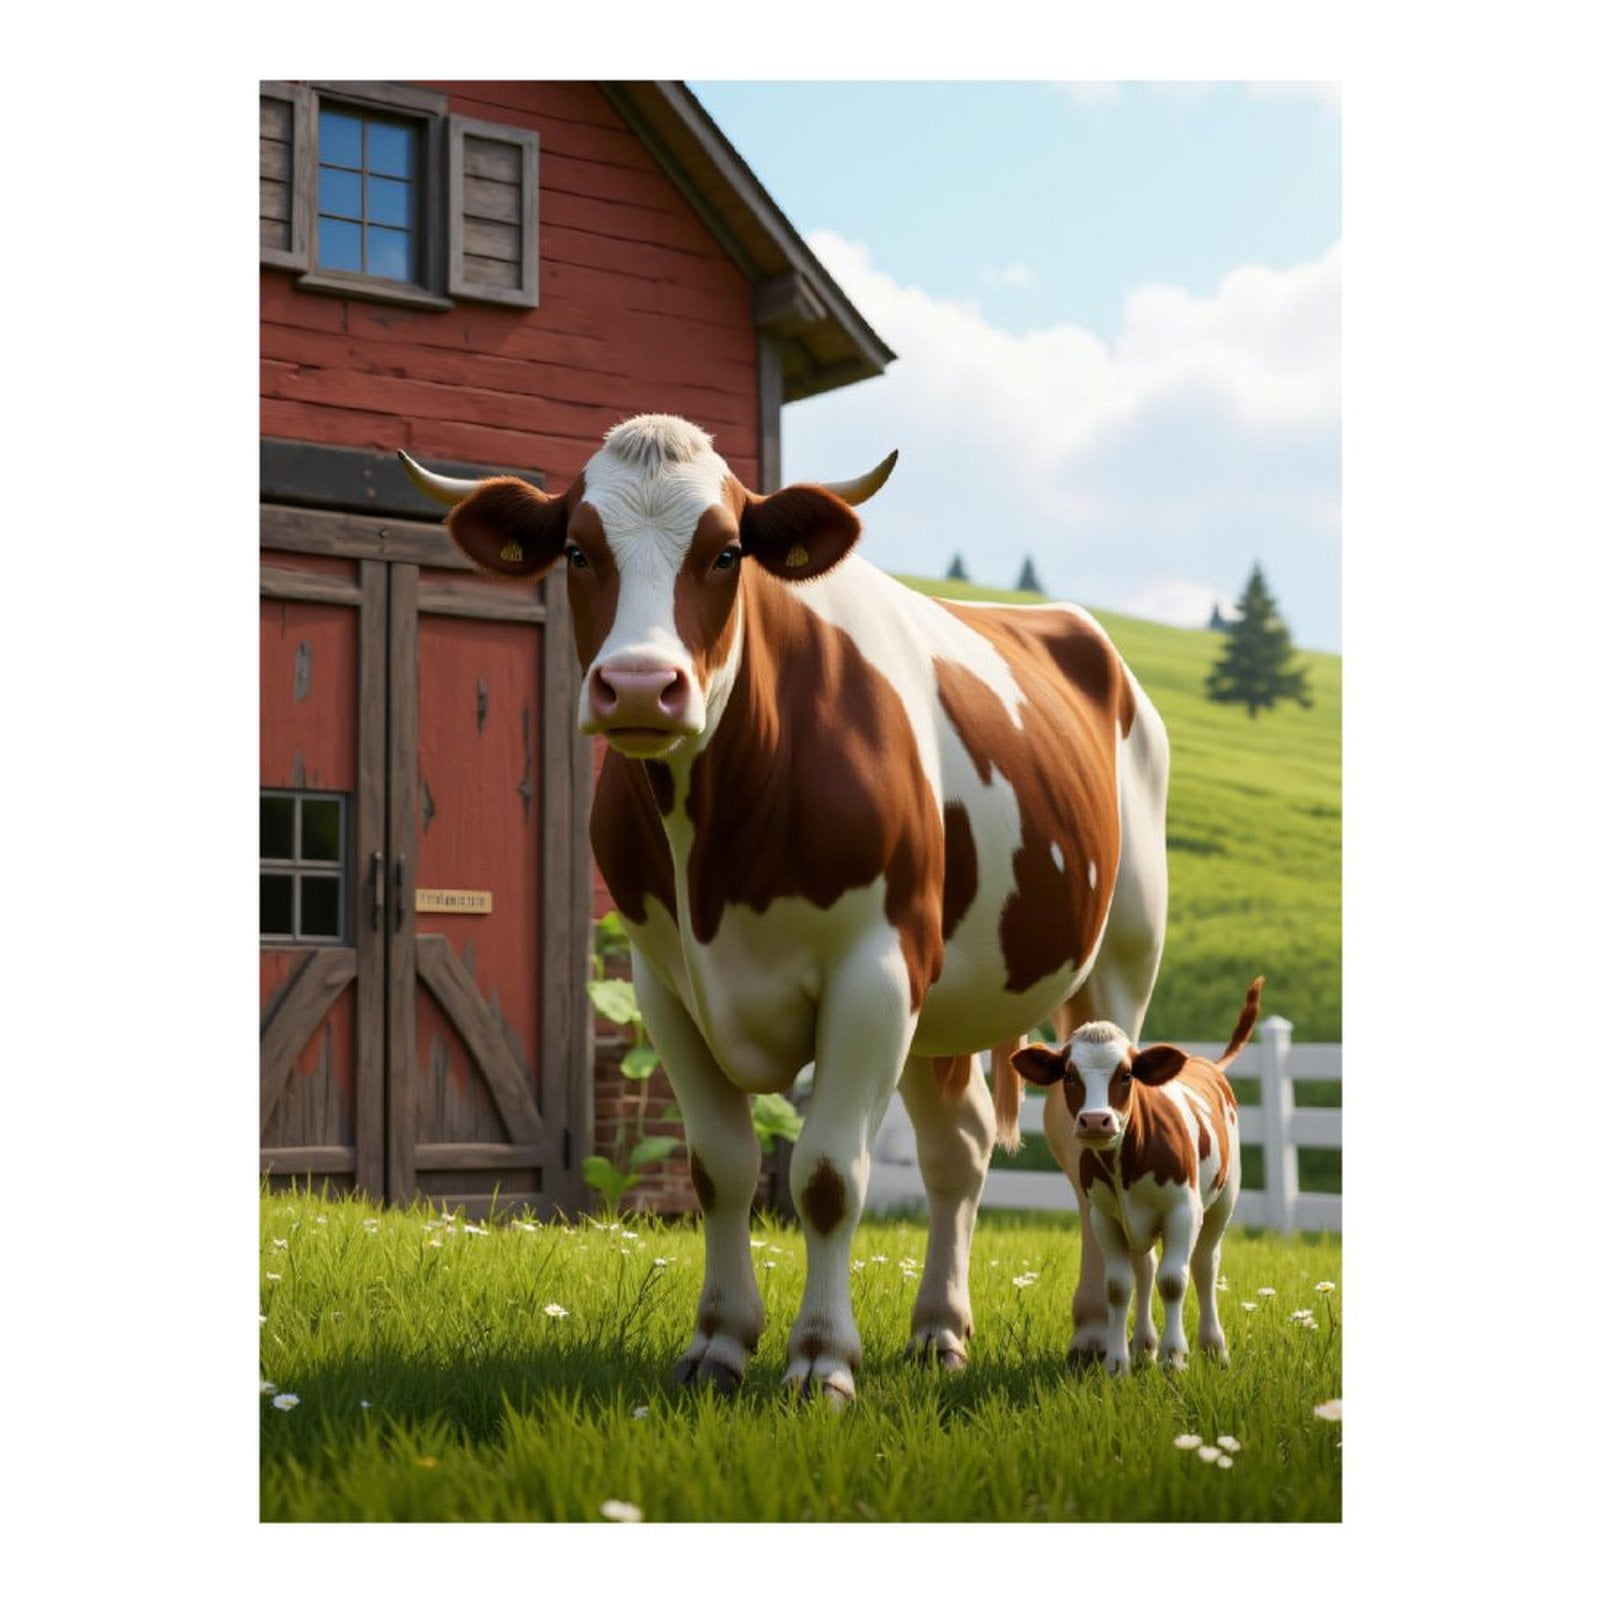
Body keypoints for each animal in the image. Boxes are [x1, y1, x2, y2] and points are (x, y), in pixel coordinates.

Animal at [399, 414, 1170, 1402]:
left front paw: (822, 1360)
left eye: (728, 552)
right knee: (957, 1151)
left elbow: (828, 1176)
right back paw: (939, 1330)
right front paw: (720, 1344)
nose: (641, 685)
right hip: (945, 1003)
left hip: (1116, 966)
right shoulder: (663, 986)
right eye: (576, 548)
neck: (719, 847)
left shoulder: (874, 971)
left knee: (1084, 1144)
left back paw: (1098, 1336)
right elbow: (721, 1170)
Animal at [1010, 977, 1264, 1375]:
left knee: (1205, 1265)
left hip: (1224, 1199)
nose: (1095, 1120)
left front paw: (1174, 1358)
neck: (1124, 1163)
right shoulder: (1105, 1216)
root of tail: (1205, 1063)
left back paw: (1213, 1347)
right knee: (1145, 1270)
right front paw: (1118, 1363)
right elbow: (1118, 1285)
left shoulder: (1182, 1211)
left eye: (1126, 1075)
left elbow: (1174, 1280)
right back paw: (1144, 1344)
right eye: (1069, 1075)